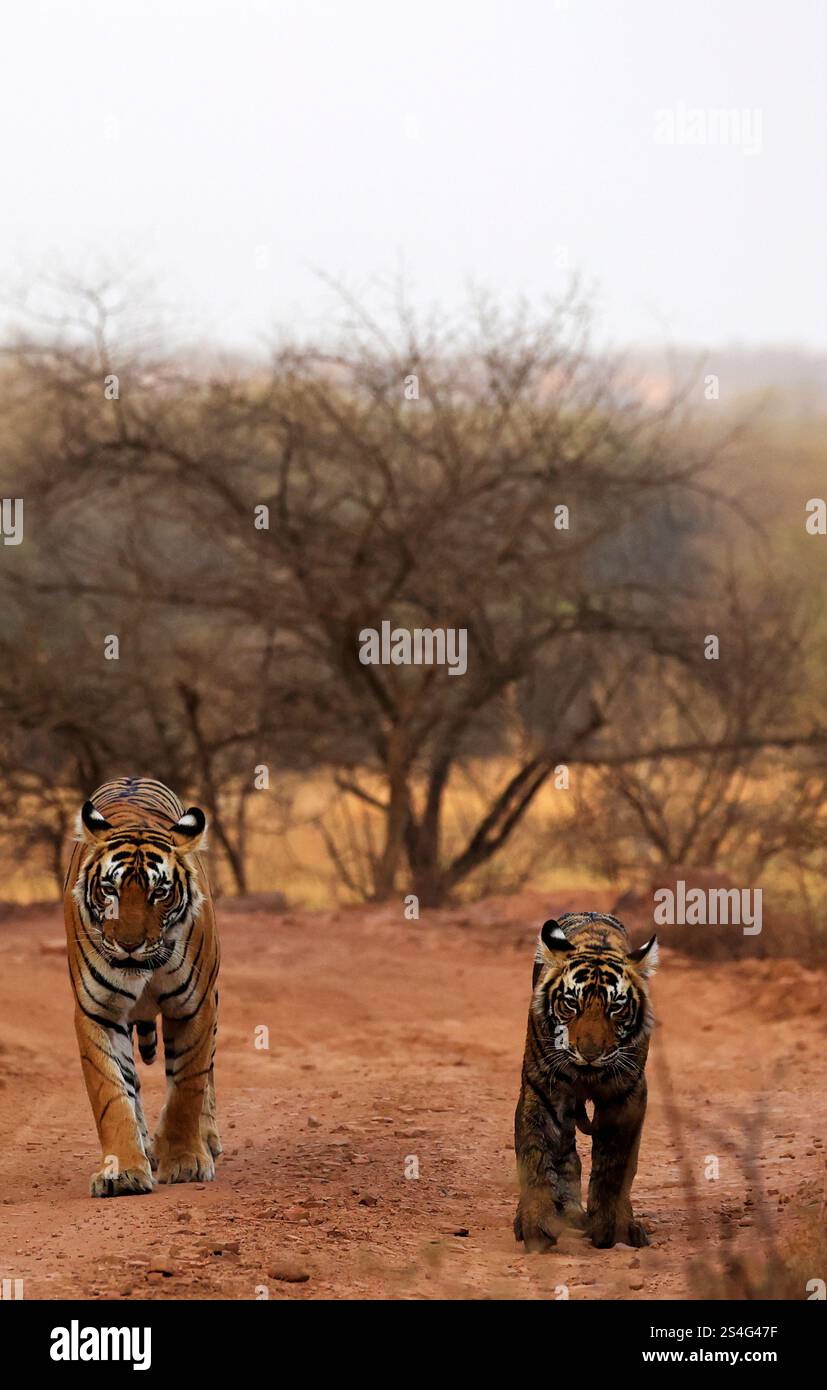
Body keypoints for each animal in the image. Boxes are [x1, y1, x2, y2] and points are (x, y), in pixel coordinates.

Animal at [63, 776, 221, 1197]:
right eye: (109, 889)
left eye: (159, 892)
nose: (129, 945)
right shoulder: (97, 1012)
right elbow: (111, 1096)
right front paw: (122, 1173)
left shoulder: (194, 1007)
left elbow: (187, 1088)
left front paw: (184, 1161)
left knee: (207, 1077)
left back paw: (205, 1140)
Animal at [514, 911, 658, 1250]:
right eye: (570, 1003)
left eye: (615, 1007)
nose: (589, 1053)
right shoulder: (542, 1089)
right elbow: (536, 1154)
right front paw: (536, 1224)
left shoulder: (627, 1097)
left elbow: (615, 1168)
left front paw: (611, 1227)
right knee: (565, 1152)